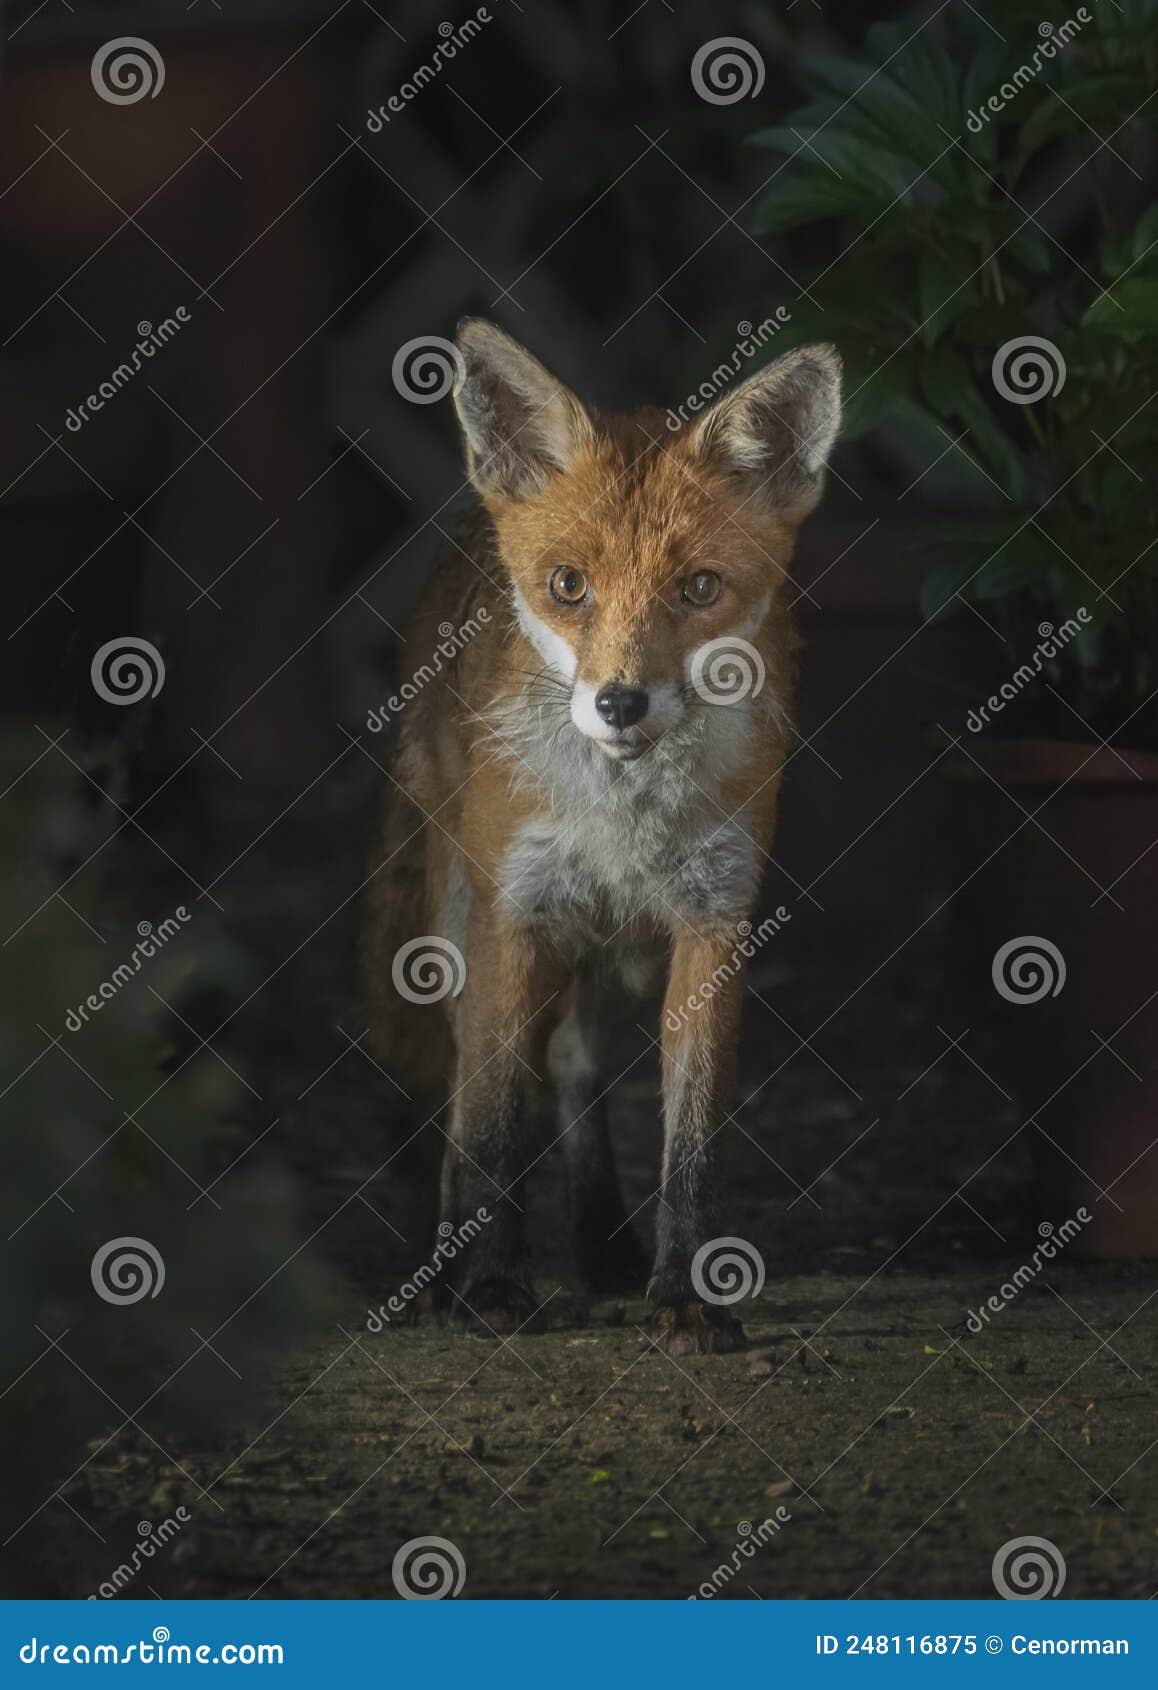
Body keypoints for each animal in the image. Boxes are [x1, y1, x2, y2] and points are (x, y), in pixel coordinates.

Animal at [362, 318, 841, 1354]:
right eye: (567, 586)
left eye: (699, 588)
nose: (620, 702)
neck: (624, 820)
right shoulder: (513, 914)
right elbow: (494, 1121)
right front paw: (492, 1287)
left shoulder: (713, 923)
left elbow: (692, 1138)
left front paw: (686, 1295)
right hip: (458, 923)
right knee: (464, 1089)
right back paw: (445, 1271)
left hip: (610, 955)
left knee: (575, 1067)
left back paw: (601, 1241)